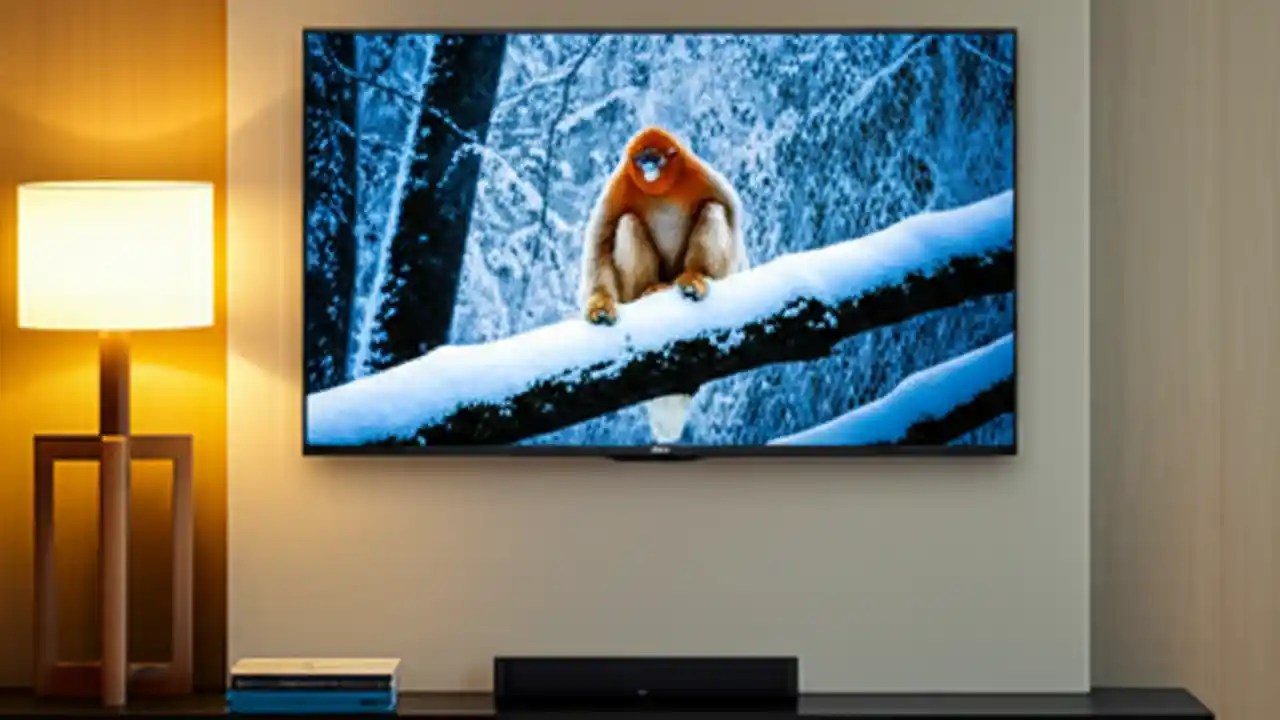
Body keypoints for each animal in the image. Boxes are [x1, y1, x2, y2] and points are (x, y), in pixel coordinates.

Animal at [578, 126, 750, 443]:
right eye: (641, 159)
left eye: (653, 158)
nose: (647, 168)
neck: (662, 190)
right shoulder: (621, 183)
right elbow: (600, 246)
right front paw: (600, 307)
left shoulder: (700, 173)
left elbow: (730, 215)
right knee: (628, 223)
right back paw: (650, 290)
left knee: (713, 209)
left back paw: (694, 280)